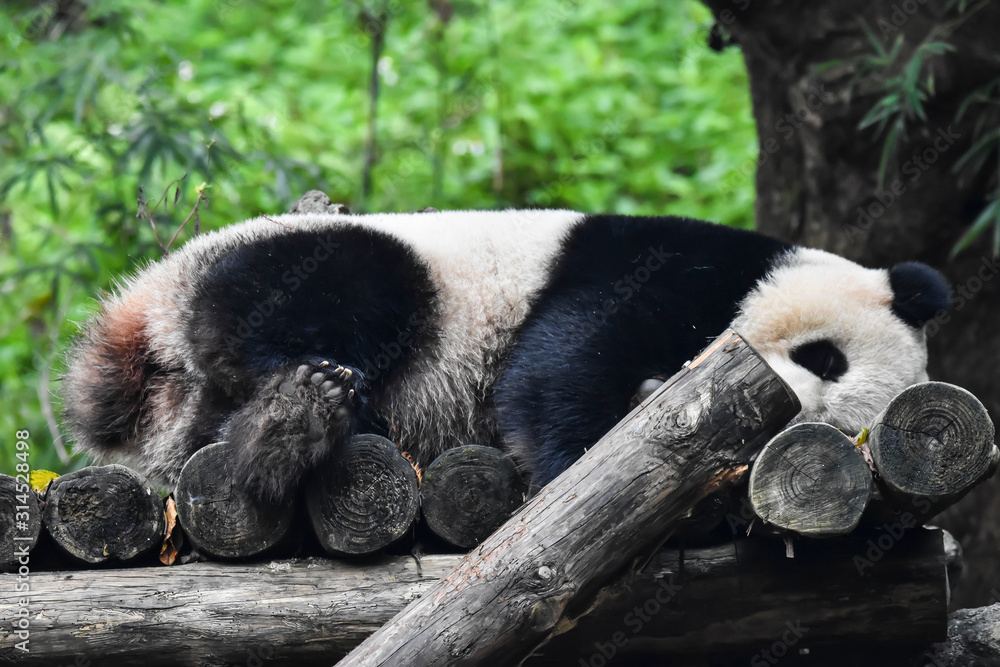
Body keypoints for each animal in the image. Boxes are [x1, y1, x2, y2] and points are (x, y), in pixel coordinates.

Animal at [62, 210, 950, 500]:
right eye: (824, 358)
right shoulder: (653, 263)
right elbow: (562, 362)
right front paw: (581, 464)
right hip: (321, 263)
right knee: (343, 292)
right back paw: (293, 419)